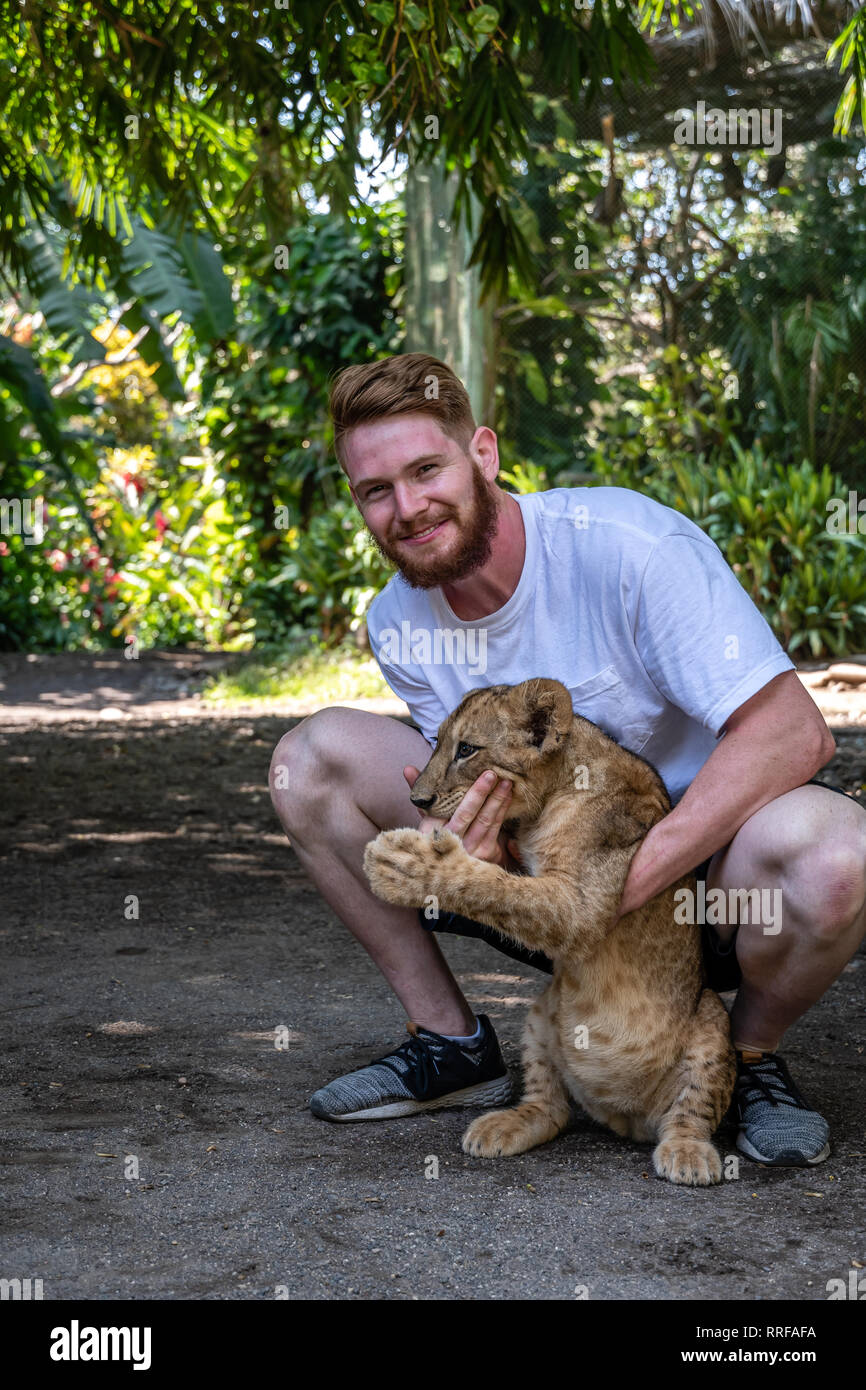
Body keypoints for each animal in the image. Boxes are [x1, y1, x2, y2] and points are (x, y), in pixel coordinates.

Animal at [363, 677, 736, 1186]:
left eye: (467, 749)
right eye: (437, 743)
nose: (416, 801)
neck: (552, 795)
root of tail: (627, 1116)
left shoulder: (581, 907)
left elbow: (494, 887)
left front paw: (407, 865)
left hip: (711, 1018)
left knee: (690, 1112)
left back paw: (688, 1153)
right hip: (544, 1013)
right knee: (551, 1108)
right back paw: (503, 1126)